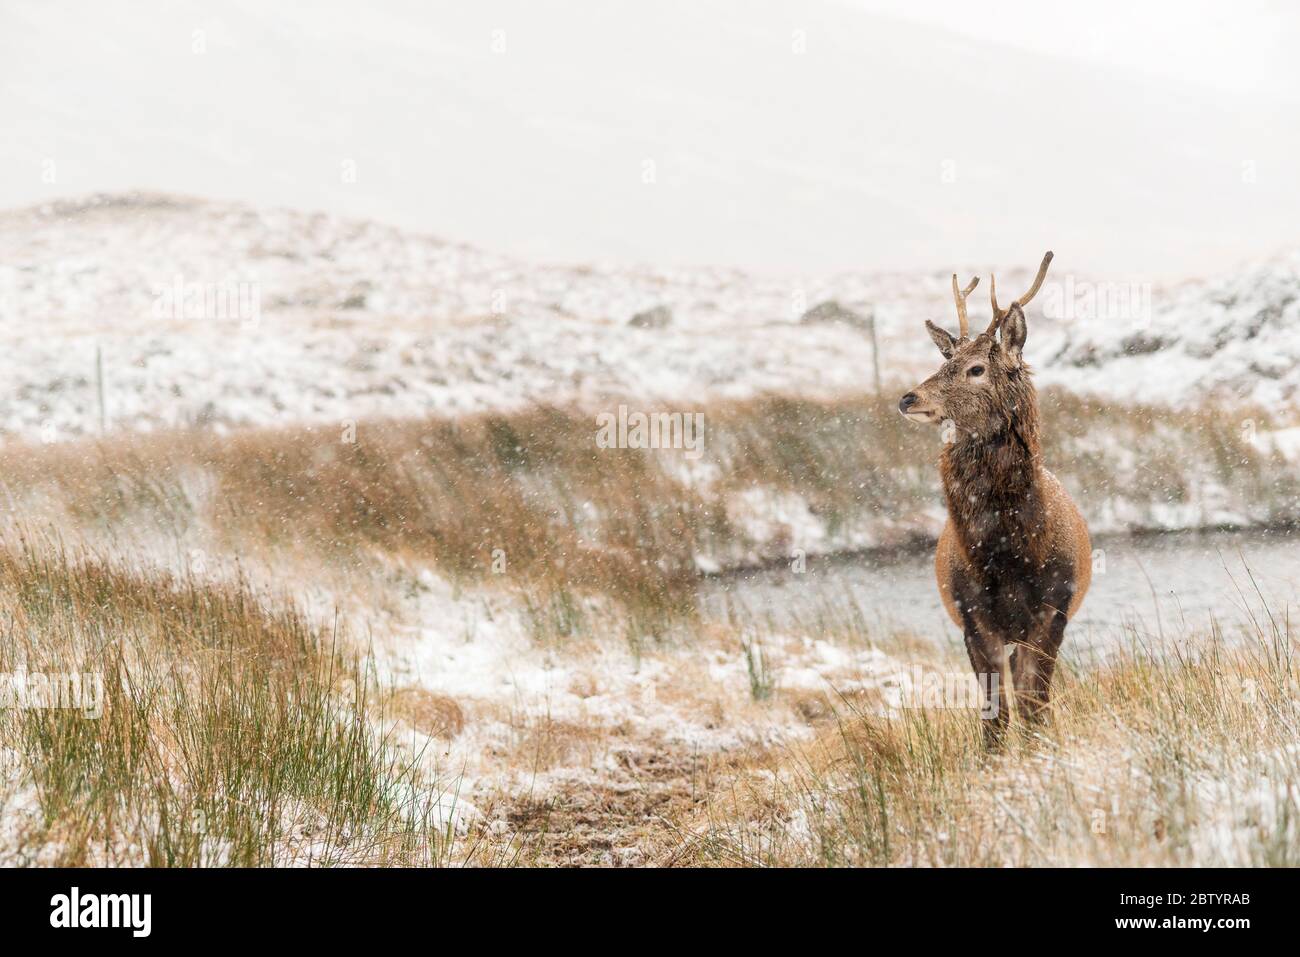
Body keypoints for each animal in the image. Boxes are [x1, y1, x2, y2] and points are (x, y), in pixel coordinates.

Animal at [898, 252, 1090, 746]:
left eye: (976, 369)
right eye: (945, 359)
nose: (908, 398)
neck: (1009, 557)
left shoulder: (1054, 611)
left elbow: (1034, 703)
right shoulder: (972, 618)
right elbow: (995, 712)